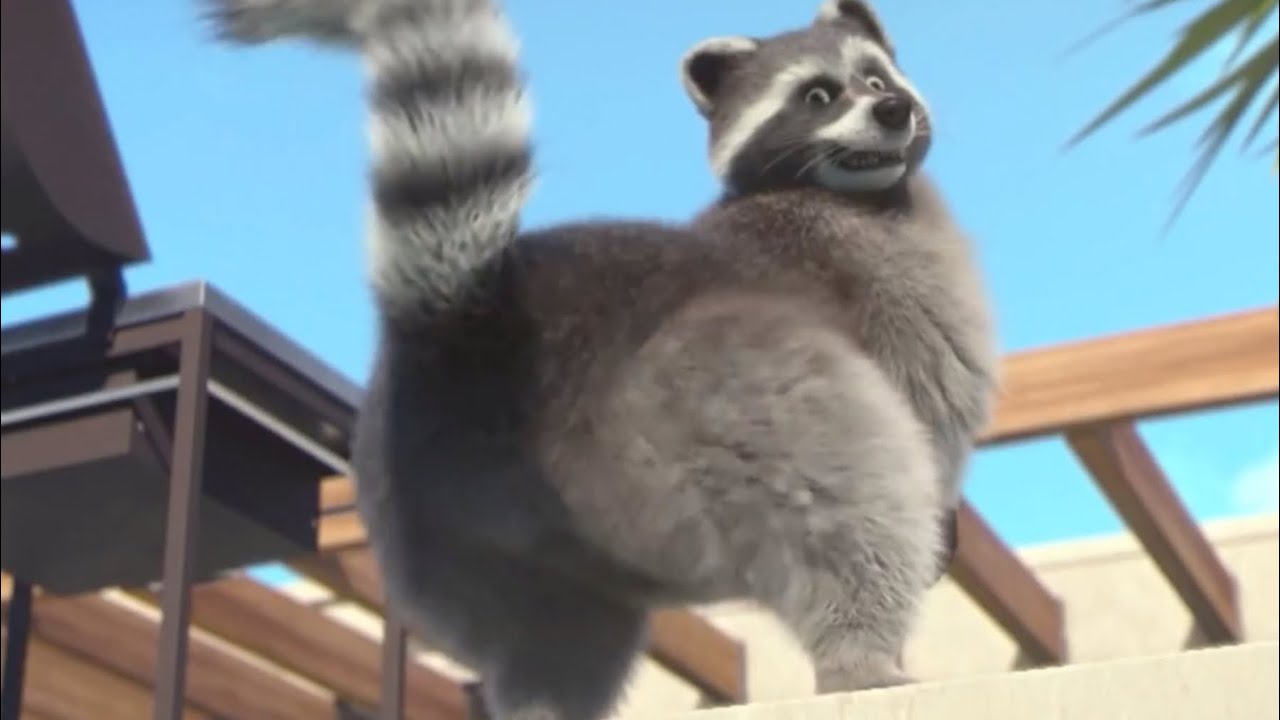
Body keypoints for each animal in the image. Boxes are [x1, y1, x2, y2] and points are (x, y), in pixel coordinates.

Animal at [206, 0, 998, 717]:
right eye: (818, 96)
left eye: (877, 77)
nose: (894, 108)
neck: (836, 188)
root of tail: (462, 329)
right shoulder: (885, 290)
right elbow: (924, 417)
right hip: (713, 386)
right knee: (847, 485)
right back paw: (858, 658)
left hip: (443, 521)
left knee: (558, 635)